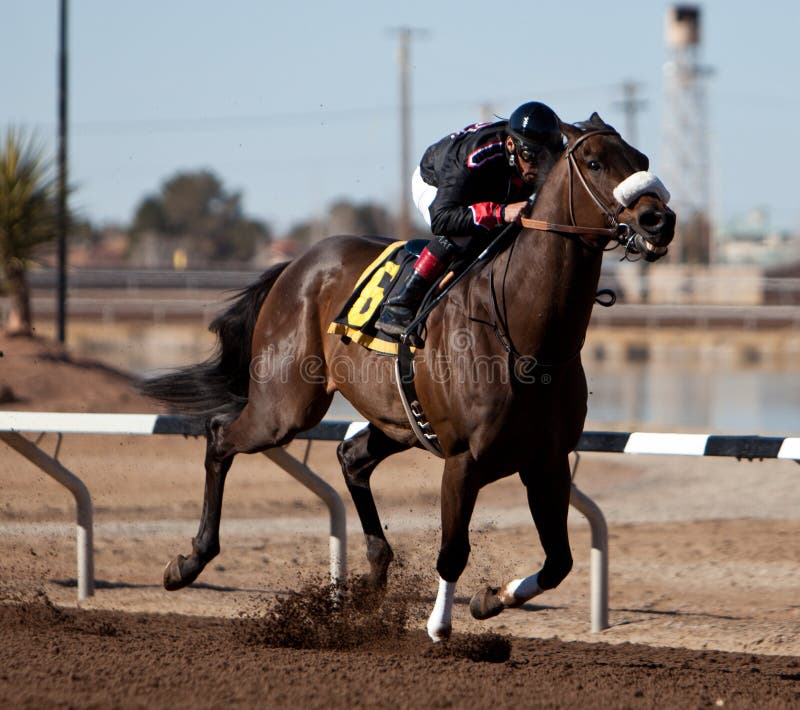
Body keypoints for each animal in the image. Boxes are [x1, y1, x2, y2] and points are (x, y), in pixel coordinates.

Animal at [142, 113, 675, 641]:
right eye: (594, 162)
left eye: (642, 158)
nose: (659, 220)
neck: (526, 337)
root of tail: (296, 265)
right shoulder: (462, 460)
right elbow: (453, 551)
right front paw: (439, 626)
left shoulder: (547, 460)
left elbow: (559, 561)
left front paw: (488, 600)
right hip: (285, 408)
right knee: (220, 436)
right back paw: (189, 563)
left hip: (398, 421)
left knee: (351, 457)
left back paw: (373, 579)